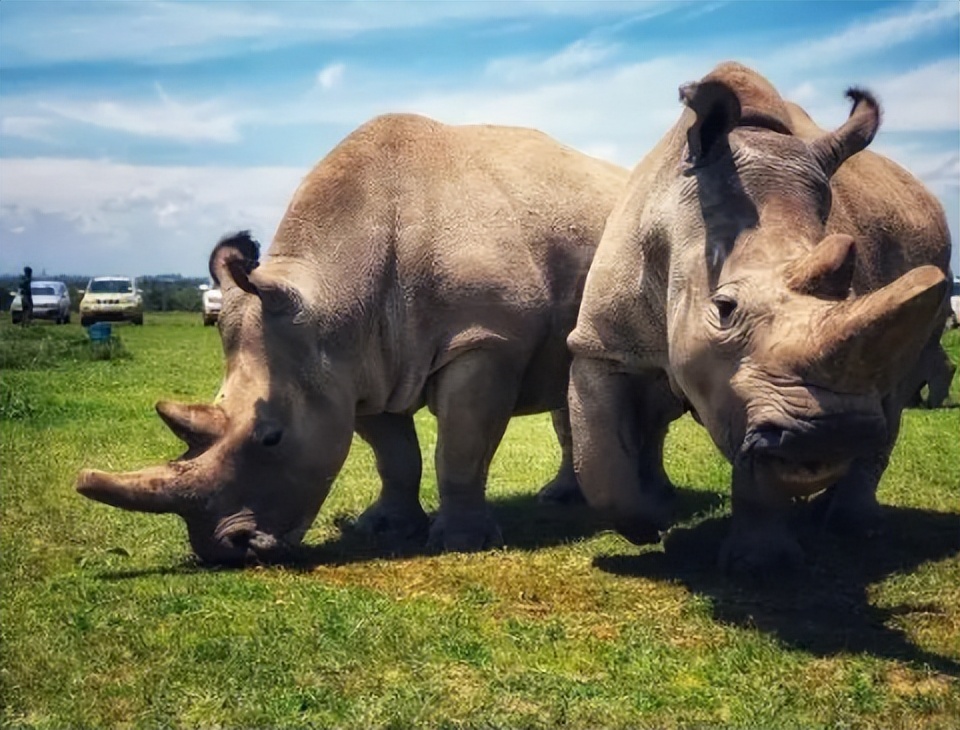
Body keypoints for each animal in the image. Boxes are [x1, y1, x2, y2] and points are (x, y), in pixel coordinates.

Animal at [76, 113, 628, 564]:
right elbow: (394, 455)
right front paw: (384, 529)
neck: (334, 292)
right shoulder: (356, 364)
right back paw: (559, 498)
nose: (226, 548)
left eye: (272, 437)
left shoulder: (484, 342)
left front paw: (461, 542)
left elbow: (460, 446)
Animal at [568, 62, 951, 574]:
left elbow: (759, 470)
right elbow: (601, 461)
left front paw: (759, 567)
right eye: (724, 309)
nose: (833, 434)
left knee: (896, 385)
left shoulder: (760, 391)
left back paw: (852, 525)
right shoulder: (602, 345)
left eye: (851, 291)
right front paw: (650, 522)